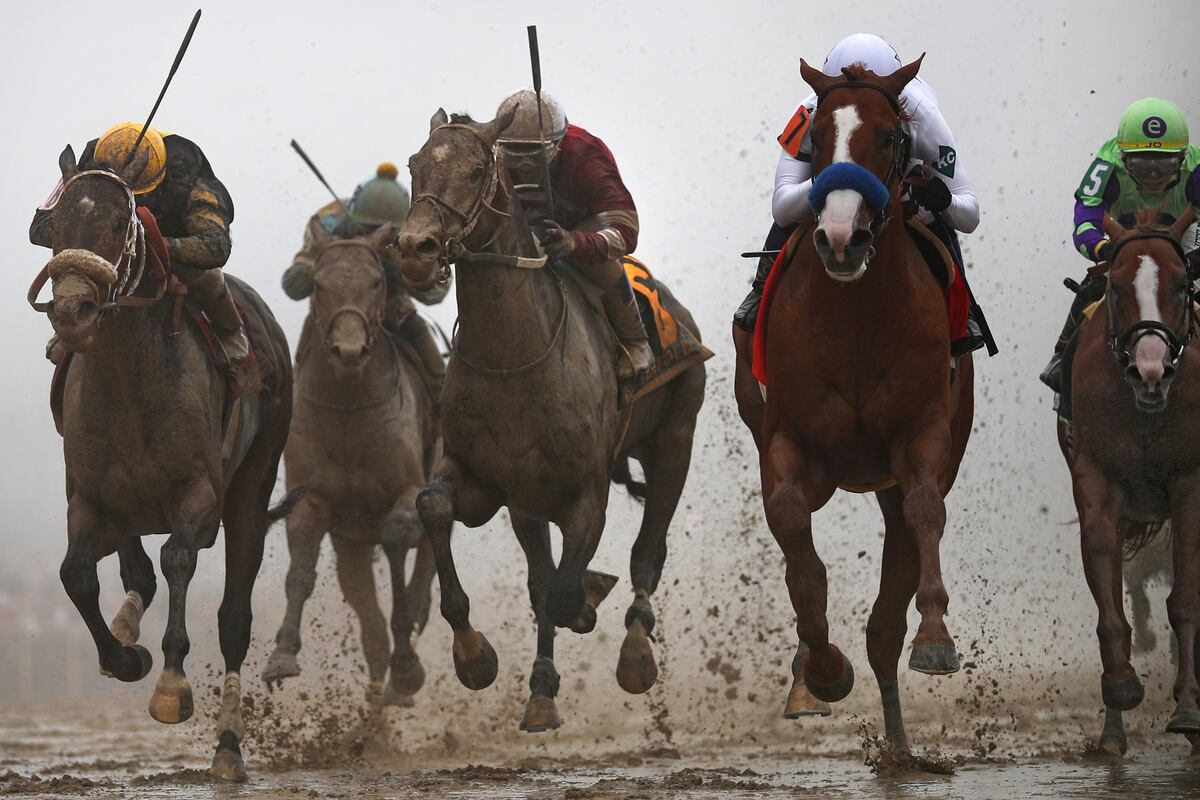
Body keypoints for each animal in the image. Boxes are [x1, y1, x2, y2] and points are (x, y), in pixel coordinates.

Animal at [29, 145, 292, 780]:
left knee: (233, 619)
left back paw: (228, 745)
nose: (73, 311)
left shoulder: (199, 494)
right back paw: (127, 623)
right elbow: (76, 574)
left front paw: (172, 685)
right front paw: (126, 655)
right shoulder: (90, 498)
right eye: (56, 227)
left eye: (118, 224)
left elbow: (178, 558)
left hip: (251, 490)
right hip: (124, 505)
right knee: (136, 574)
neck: (129, 382)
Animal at [262, 223, 437, 709]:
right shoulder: (313, 501)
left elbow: (397, 539)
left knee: (427, 563)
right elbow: (300, 571)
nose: (349, 351)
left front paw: (408, 665)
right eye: (319, 285)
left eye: (376, 282)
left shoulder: (410, 492)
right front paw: (282, 654)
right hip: (351, 544)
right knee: (369, 621)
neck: (348, 411)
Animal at [389, 108, 708, 732]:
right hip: (530, 503)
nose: (416, 248)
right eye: (414, 165)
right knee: (544, 577)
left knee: (647, 553)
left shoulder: (587, 493)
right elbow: (436, 508)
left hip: (675, 439)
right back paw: (540, 691)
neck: (515, 361)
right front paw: (474, 655)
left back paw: (635, 652)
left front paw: (585, 603)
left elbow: (565, 591)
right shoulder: (491, 485)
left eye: (473, 169)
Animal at [732, 58, 975, 753]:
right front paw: (820, 669)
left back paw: (900, 743)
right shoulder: (789, 445)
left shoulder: (922, 434)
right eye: (814, 141)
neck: (857, 319)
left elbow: (926, 508)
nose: (842, 237)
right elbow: (793, 535)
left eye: (891, 138)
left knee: (888, 607)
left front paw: (935, 639)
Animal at [1058, 208, 1200, 757]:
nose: (1150, 369)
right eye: (1116, 286)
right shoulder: (1097, 479)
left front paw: (1188, 708)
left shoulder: (1189, 481)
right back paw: (1112, 733)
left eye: (1182, 283)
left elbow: (1185, 599)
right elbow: (1109, 596)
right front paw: (1120, 687)